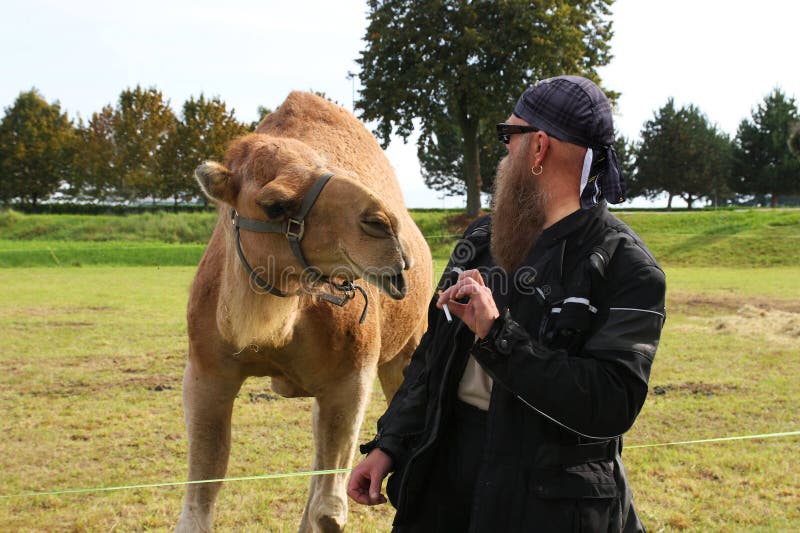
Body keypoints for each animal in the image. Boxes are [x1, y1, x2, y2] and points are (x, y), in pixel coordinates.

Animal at [175, 92, 432, 532]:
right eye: (275, 205)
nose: (385, 225)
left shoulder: (351, 376)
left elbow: (330, 511)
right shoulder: (206, 370)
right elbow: (198, 505)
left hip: (407, 350)